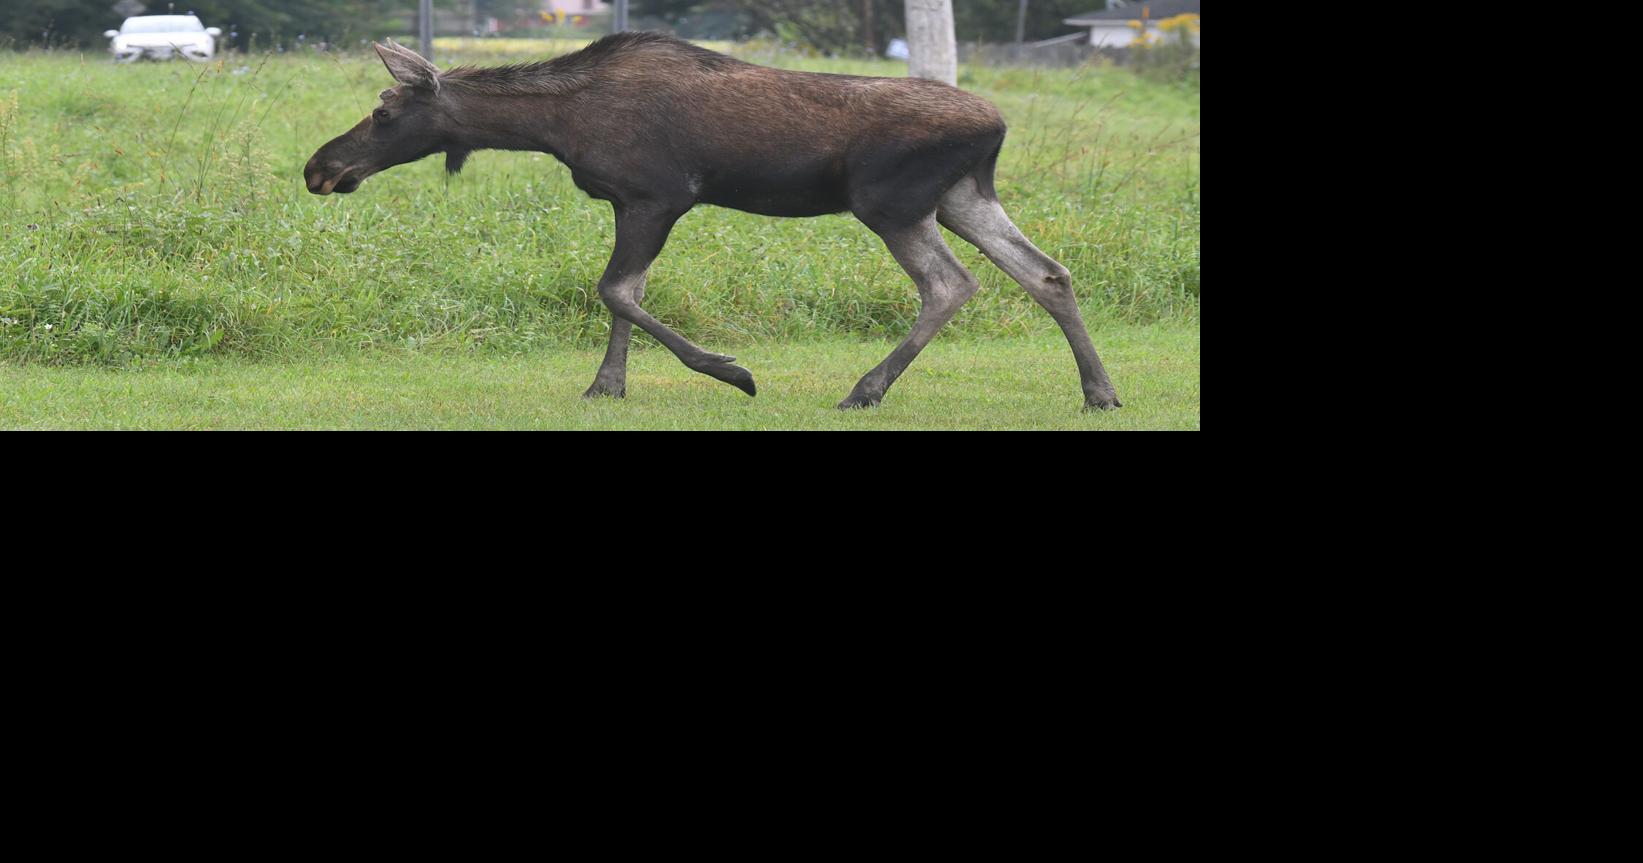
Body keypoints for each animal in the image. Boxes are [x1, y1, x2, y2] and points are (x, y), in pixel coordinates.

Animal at [304, 34, 1121, 411]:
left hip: (889, 202)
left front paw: (733, 371)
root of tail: (998, 125)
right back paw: (1099, 391)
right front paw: (606, 387)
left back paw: (863, 389)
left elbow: (615, 291)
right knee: (1047, 272)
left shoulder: (659, 194)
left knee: (951, 285)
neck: (552, 127)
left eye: (383, 111)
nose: (319, 167)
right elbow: (623, 296)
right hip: (960, 195)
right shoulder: (630, 202)